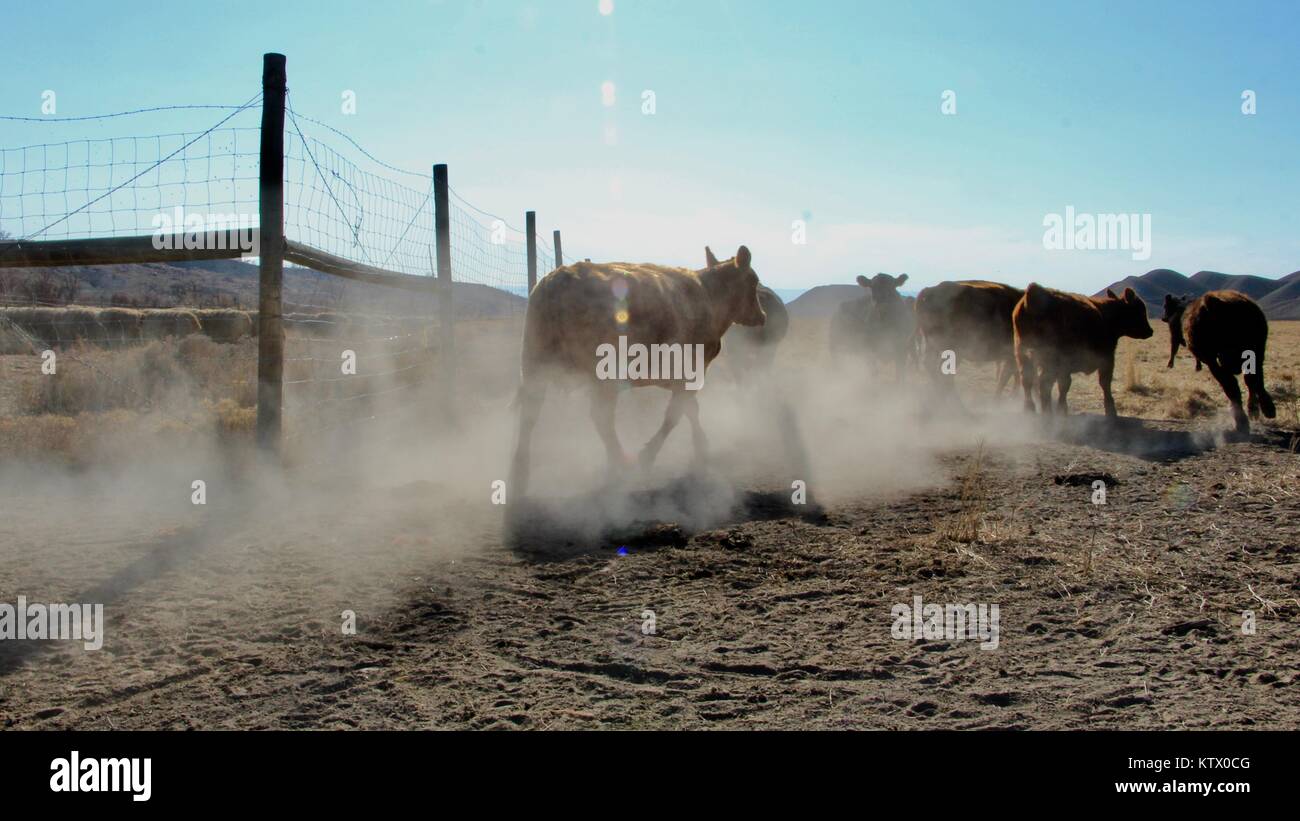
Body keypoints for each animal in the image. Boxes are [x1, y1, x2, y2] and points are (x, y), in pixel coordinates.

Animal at [509, 246, 766, 497]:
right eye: (753, 281)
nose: (762, 316)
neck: (709, 295)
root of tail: (560, 278)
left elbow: (690, 410)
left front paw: (701, 447)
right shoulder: (690, 372)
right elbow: (675, 415)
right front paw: (650, 455)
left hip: (533, 364)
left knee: (530, 415)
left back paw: (520, 474)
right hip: (603, 375)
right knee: (601, 418)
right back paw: (620, 463)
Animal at [1012, 283, 1153, 418]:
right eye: (1140, 311)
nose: (1150, 331)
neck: (1106, 315)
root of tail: (1033, 293)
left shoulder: (1064, 368)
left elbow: (1064, 386)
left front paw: (1062, 410)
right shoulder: (1107, 359)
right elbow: (1105, 383)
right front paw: (1111, 411)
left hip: (1023, 356)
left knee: (1027, 380)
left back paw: (1029, 408)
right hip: (1049, 360)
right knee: (1044, 383)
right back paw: (1047, 414)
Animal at [1162, 290, 1275, 433]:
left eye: (1165, 306)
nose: (1163, 318)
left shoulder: (1175, 338)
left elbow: (1173, 351)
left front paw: (1170, 365)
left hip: (1214, 360)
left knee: (1232, 385)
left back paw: (1243, 419)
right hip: (1254, 352)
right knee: (1252, 379)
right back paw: (1263, 409)